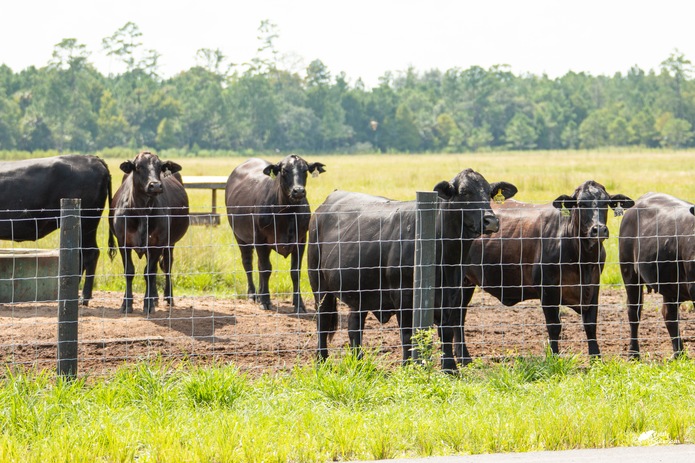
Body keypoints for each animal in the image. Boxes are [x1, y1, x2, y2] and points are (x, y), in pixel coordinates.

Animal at [110, 151, 190, 314]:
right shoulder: (123, 242)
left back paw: (167, 297)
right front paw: (126, 303)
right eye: (138, 166)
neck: (142, 211)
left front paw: (148, 304)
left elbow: (150, 272)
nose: (155, 185)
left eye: (160, 167)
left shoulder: (158, 243)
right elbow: (129, 271)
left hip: (169, 244)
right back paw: (155, 297)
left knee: (167, 266)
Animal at [225, 155, 326, 313]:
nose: (298, 191)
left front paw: (299, 303)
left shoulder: (301, 240)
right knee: (248, 263)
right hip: (240, 237)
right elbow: (266, 268)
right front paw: (265, 301)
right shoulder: (260, 239)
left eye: (305, 170)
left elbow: (295, 272)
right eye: (284, 170)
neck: (288, 214)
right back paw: (253, 294)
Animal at [307, 168, 517, 370]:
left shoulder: (453, 293)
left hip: (359, 291)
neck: (446, 258)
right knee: (322, 321)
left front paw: (450, 368)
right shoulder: (404, 295)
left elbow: (447, 330)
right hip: (318, 283)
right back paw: (322, 361)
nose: (491, 221)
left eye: (489, 193)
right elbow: (408, 335)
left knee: (354, 326)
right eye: (464, 192)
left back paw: (359, 362)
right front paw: (408, 366)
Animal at [459, 180, 634, 363]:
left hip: (467, 283)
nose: (598, 229)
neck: (582, 261)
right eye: (580, 203)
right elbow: (554, 326)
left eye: (606, 203)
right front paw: (555, 358)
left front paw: (596, 359)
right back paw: (464, 358)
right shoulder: (548, 289)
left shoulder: (593, 286)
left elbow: (591, 324)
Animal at [619, 192, 695, 359]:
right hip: (629, 273)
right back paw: (633, 353)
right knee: (634, 312)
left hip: (671, 285)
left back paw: (678, 354)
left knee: (669, 315)